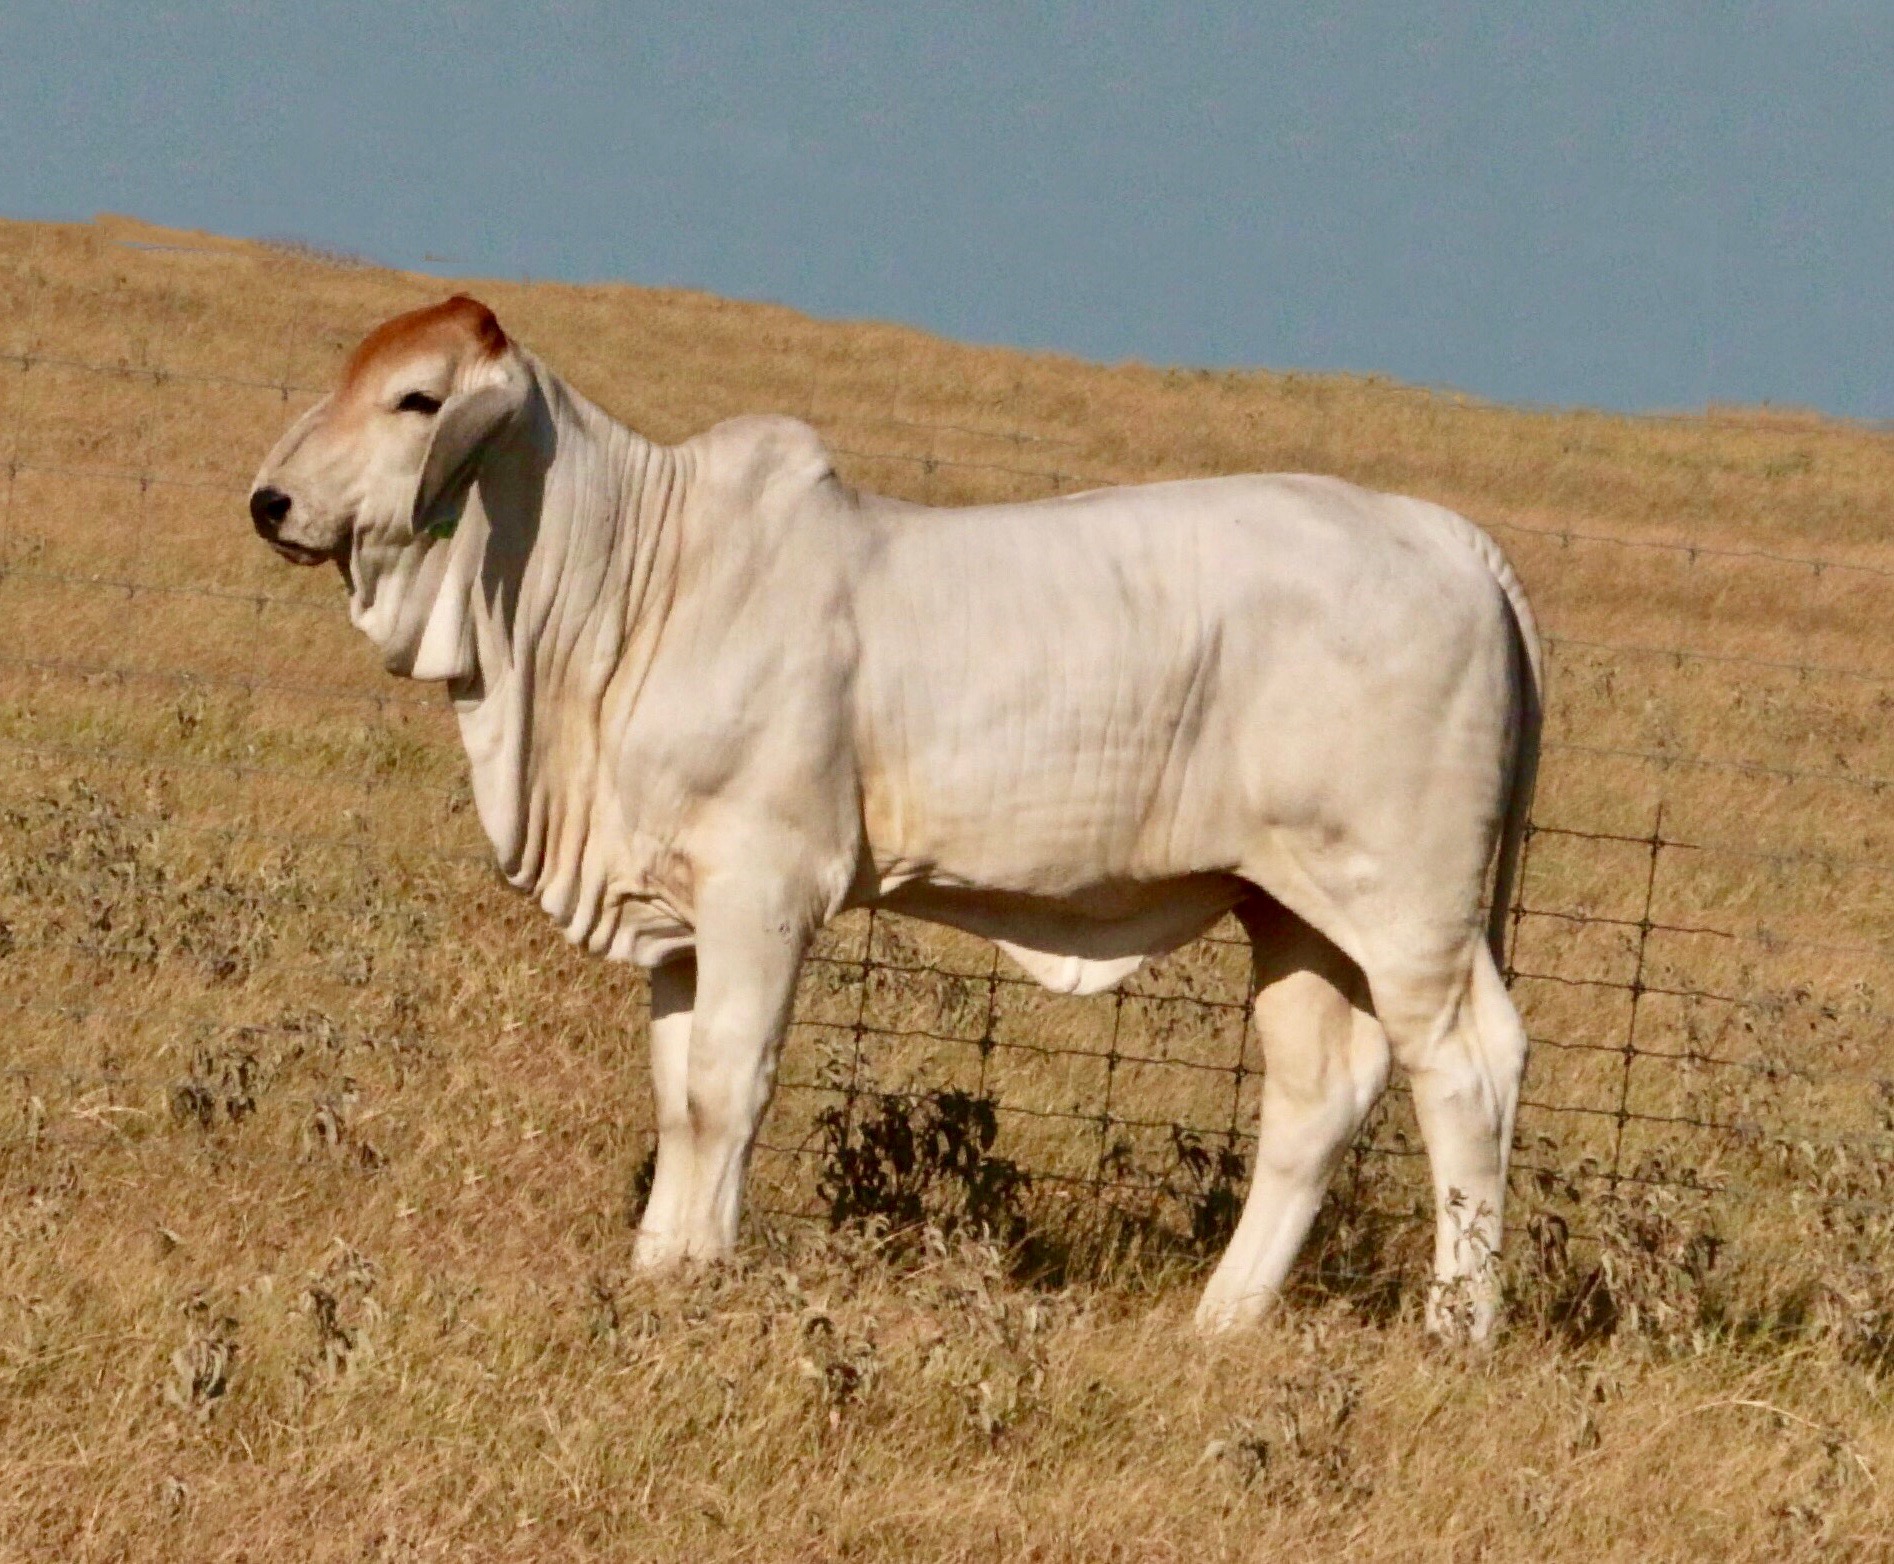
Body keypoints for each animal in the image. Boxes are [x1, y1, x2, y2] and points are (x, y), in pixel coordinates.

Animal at [249, 295, 1542, 1340]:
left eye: (417, 397)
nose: (270, 502)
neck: (631, 583)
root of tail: (1451, 539)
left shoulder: (765, 885)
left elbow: (727, 1084)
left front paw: (702, 1267)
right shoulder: (675, 918)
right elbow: (676, 1094)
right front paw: (659, 1264)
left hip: (1408, 901)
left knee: (1468, 1068)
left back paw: (1455, 1324)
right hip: (1291, 905)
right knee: (1319, 1090)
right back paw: (1220, 1318)